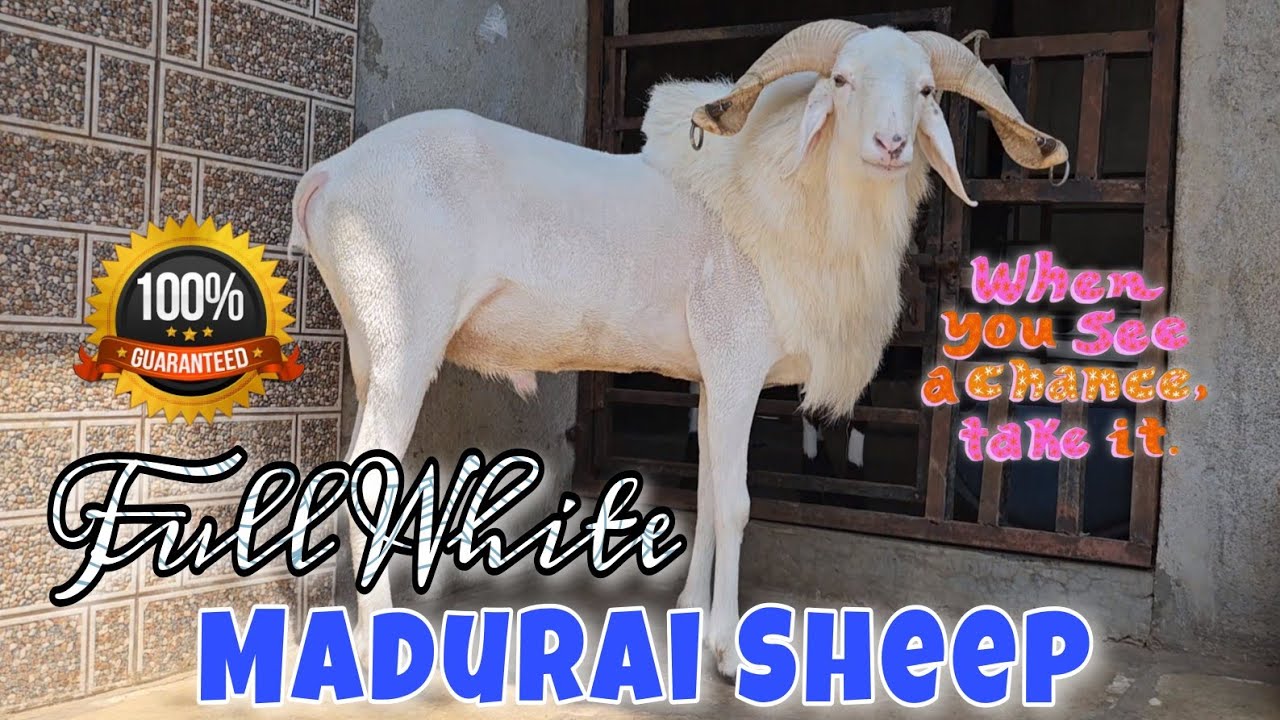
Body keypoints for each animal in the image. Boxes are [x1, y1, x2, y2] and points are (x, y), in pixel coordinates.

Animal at [289, 21, 1068, 677]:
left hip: (371, 342)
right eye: (843, 80)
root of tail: (329, 175)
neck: (783, 203)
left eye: (927, 90)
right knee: (369, 480)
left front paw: (692, 614)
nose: (890, 145)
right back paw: (379, 646)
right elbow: (737, 503)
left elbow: (708, 490)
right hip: (404, 333)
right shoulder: (738, 366)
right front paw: (726, 649)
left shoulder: (712, 377)